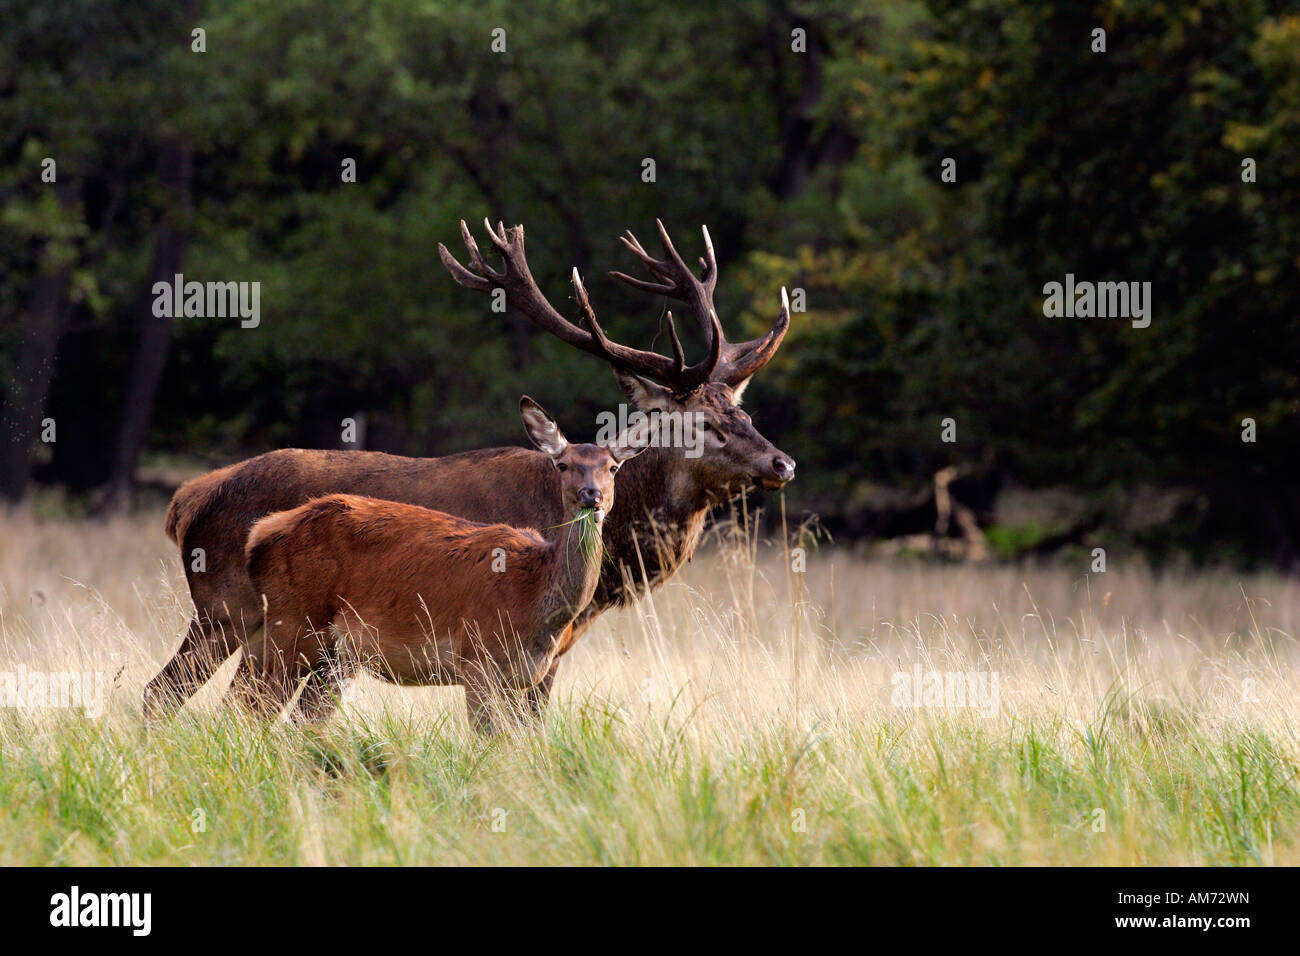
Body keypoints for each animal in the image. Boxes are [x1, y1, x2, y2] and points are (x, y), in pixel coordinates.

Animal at [232, 398, 647, 731]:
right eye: (562, 464)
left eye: (612, 467)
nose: (591, 495)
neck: (533, 599)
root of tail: (258, 534)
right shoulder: (476, 657)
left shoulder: (521, 679)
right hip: (292, 622)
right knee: (252, 704)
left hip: (335, 654)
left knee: (295, 719)